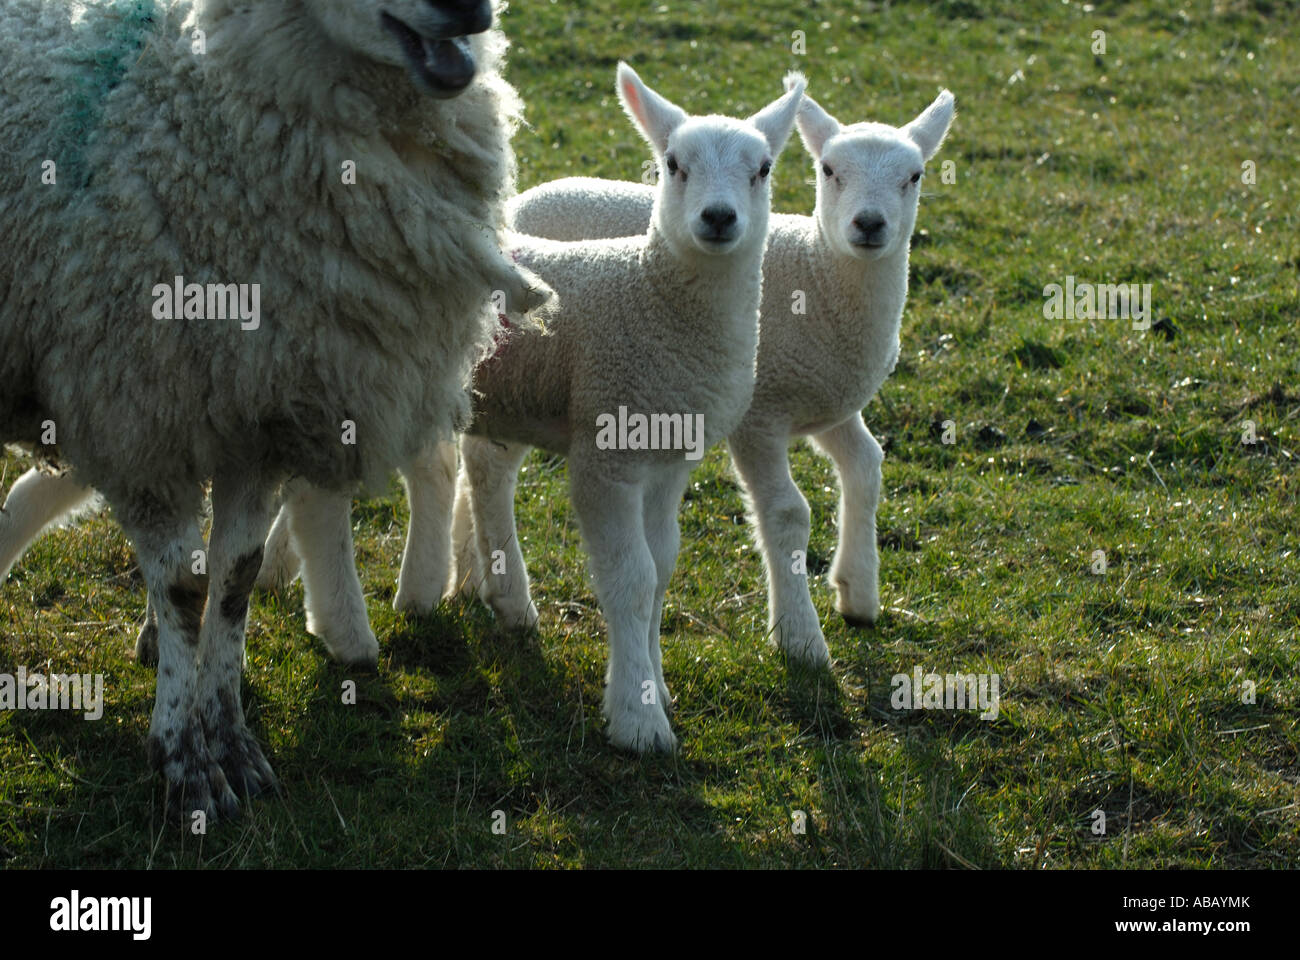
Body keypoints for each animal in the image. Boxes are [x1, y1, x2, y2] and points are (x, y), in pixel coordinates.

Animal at [0, 0, 545, 819]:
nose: (470, 14)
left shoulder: (260, 421)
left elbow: (233, 580)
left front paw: (229, 739)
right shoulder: (137, 413)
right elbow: (185, 587)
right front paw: (184, 758)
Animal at [501, 84, 956, 666]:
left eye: (915, 175)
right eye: (829, 169)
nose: (870, 224)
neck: (820, 274)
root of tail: (527, 197)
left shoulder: (832, 400)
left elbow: (867, 467)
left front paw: (858, 592)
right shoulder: (759, 415)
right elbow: (787, 514)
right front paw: (800, 637)